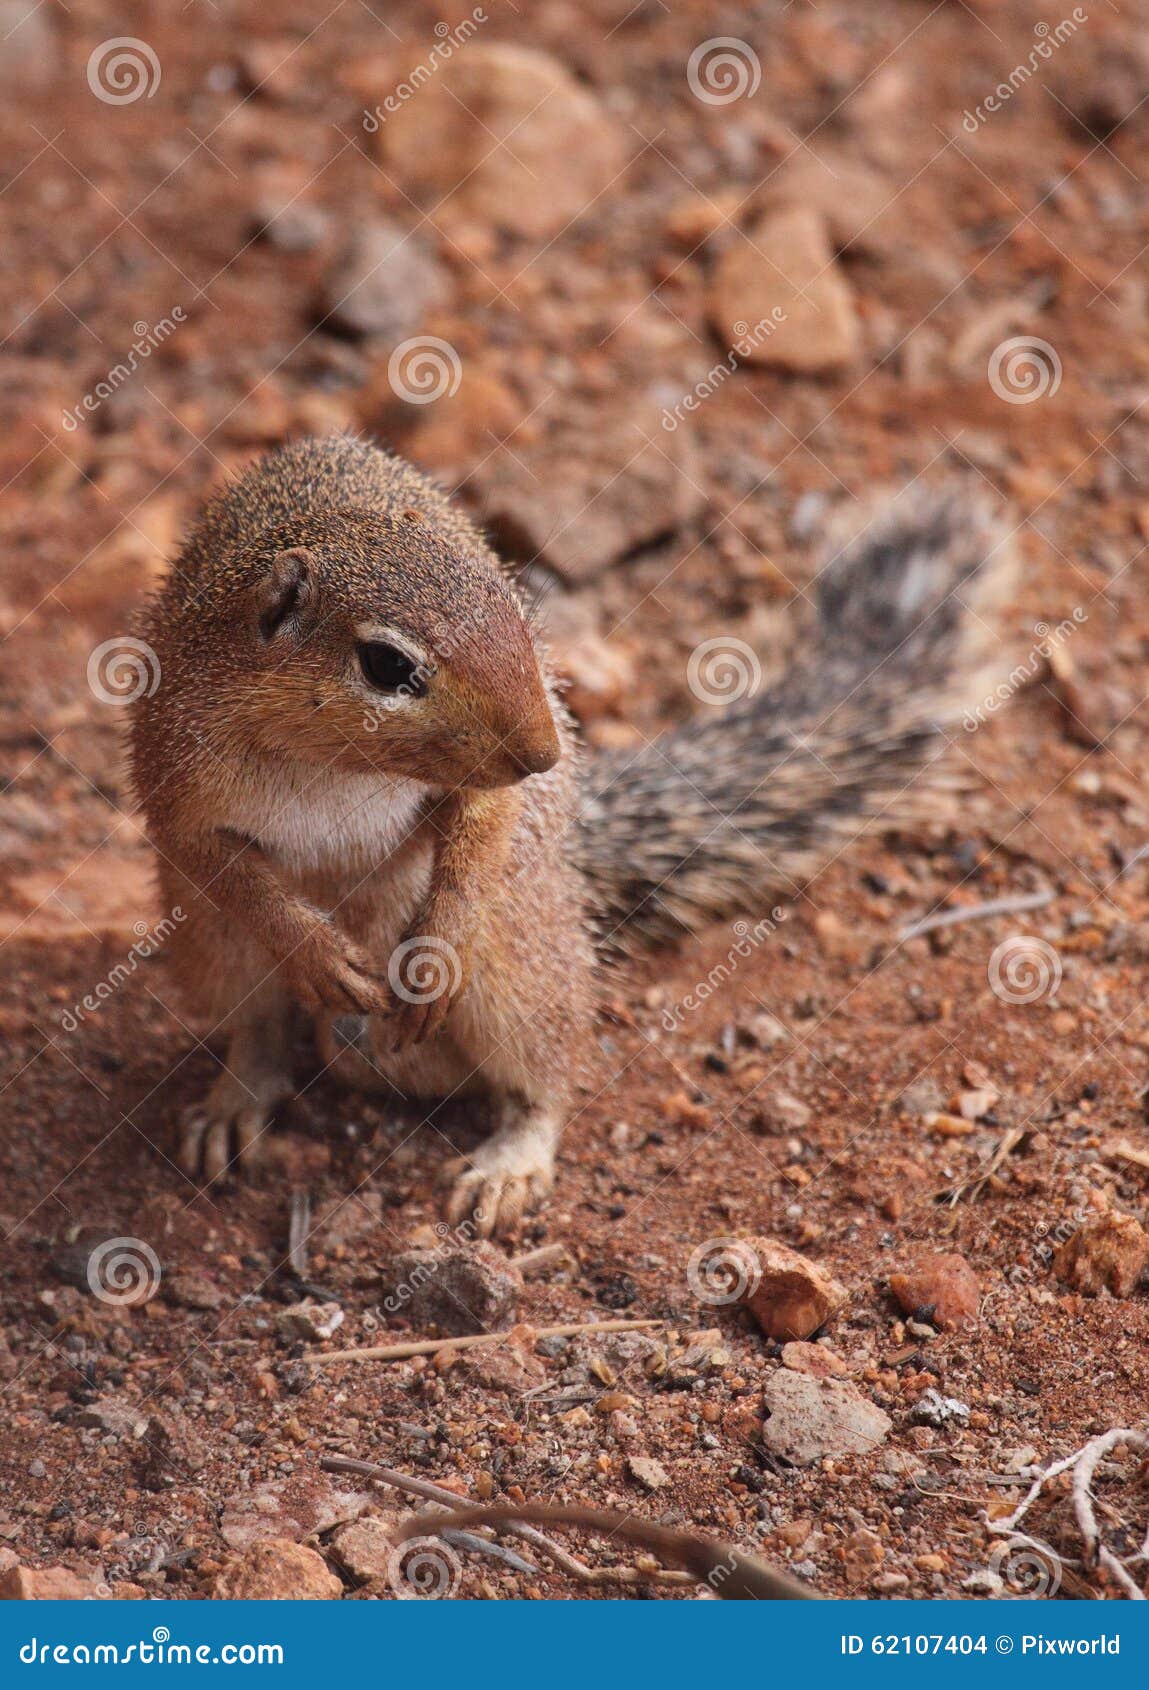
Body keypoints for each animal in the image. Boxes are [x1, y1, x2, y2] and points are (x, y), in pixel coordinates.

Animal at [130, 435, 1009, 1237]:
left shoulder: (481, 799)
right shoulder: (181, 772)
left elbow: (484, 825)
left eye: (521, 616)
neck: (329, 765)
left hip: (516, 966)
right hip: (212, 947)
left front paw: (434, 948)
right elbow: (217, 860)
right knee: (261, 1032)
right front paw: (314, 950)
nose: (543, 755)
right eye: (386, 665)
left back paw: (507, 1163)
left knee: (543, 1074)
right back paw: (236, 1102)